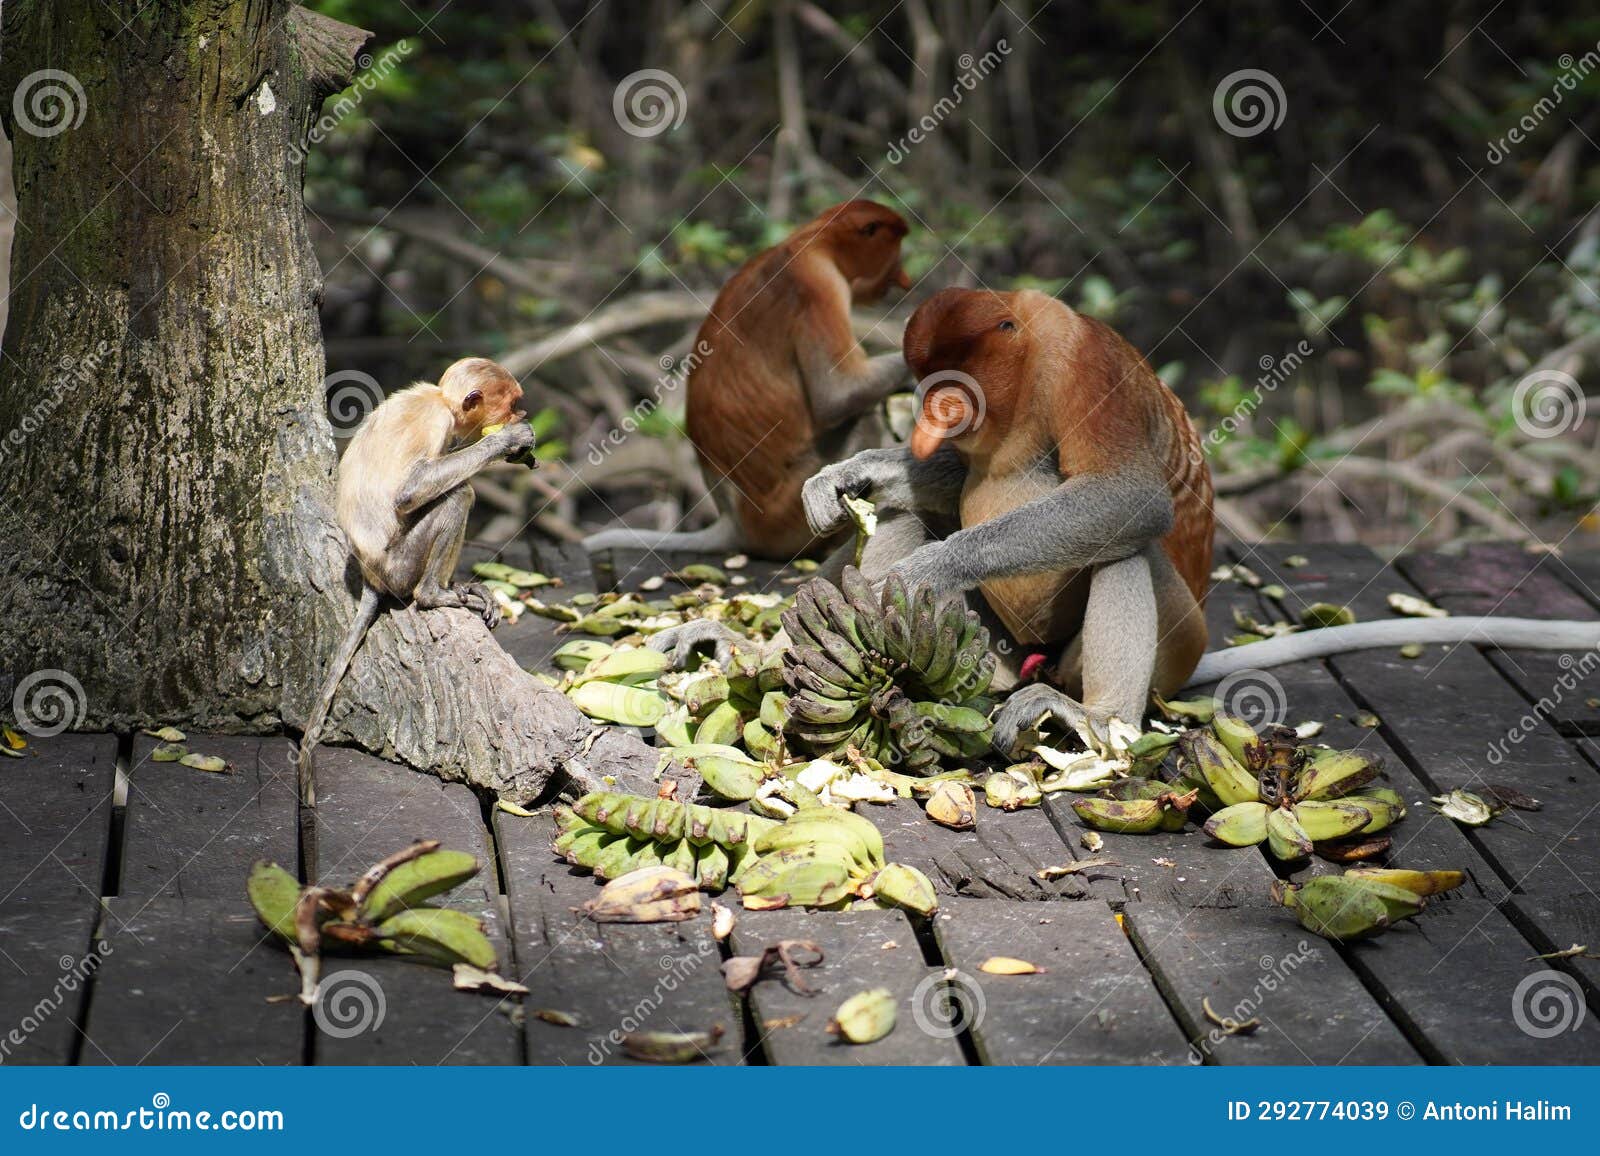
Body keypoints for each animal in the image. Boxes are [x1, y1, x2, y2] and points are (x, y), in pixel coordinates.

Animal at [296, 357, 536, 804]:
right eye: (512, 405)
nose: (519, 415)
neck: (439, 398)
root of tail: (372, 574)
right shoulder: (438, 422)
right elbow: (411, 492)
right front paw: (509, 441)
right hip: (401, 564)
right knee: (458, 495)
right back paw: (433, 595)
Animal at [581, 199, 913, 560]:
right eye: (894, 249)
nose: (903, 277)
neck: (811, 241)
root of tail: (734, 522)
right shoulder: (819, 285)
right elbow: (838, 394)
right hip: (781, 518)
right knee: (863, 419)